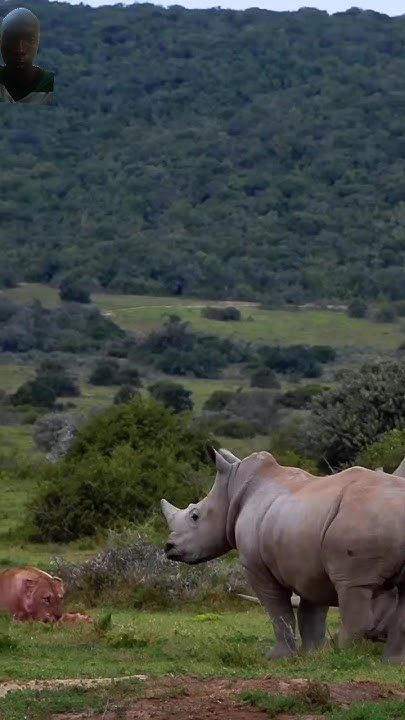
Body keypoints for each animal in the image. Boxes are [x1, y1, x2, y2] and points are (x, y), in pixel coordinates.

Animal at [161, 447, 405, 664]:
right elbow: (310, 613)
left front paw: (278, 658)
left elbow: (277, 611)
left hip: (361, 520)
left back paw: (342, 655)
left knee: (352, 587)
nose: (169, 547)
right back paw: (393, 663)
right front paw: (312, 655)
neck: (233, 491)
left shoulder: (256, 567)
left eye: (195, 516)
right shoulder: (309, 567)